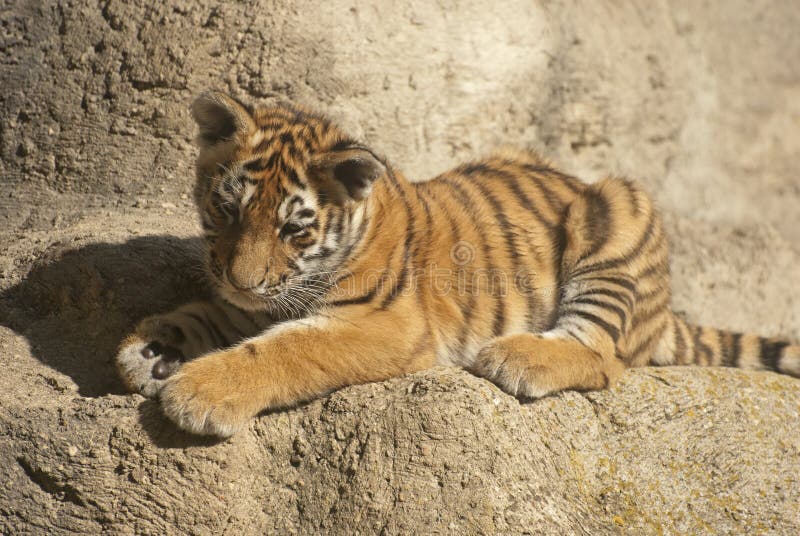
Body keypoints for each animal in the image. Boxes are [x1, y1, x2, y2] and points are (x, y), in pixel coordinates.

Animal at [116, 90, 800, 437]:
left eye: (293, 228)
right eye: (227, 209)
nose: (240, 278)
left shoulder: (384, 325)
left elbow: (284, 349)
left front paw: (198, 390)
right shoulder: (257, 298)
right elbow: (223, 317)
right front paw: (155, 347)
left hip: (615, 206)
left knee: (604, 358)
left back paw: (517, 357)